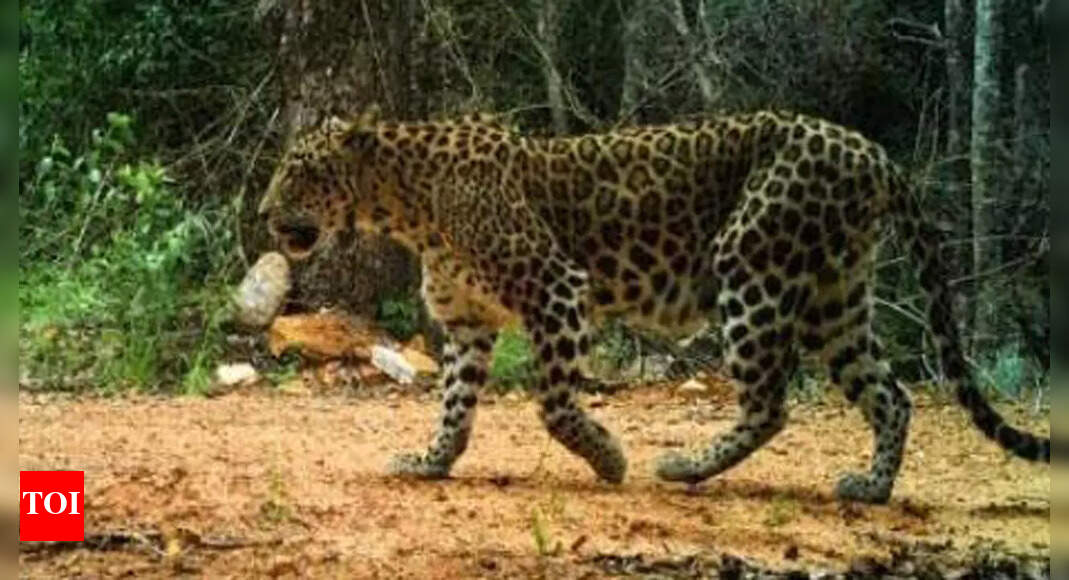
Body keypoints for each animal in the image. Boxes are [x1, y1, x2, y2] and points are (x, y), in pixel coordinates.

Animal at [259, 107, 1049, 504]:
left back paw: (687, 467)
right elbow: (454, 406)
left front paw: (608, 458)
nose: (264, 214)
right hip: (835, 298)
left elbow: (553, 403)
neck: (405, 203)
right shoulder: (468, 323)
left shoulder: (557, 287)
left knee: (770, 402)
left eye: (298, 170)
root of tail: (872, 151)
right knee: (890, 396)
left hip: (753, 265)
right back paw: (871, 487)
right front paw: (430, 462)